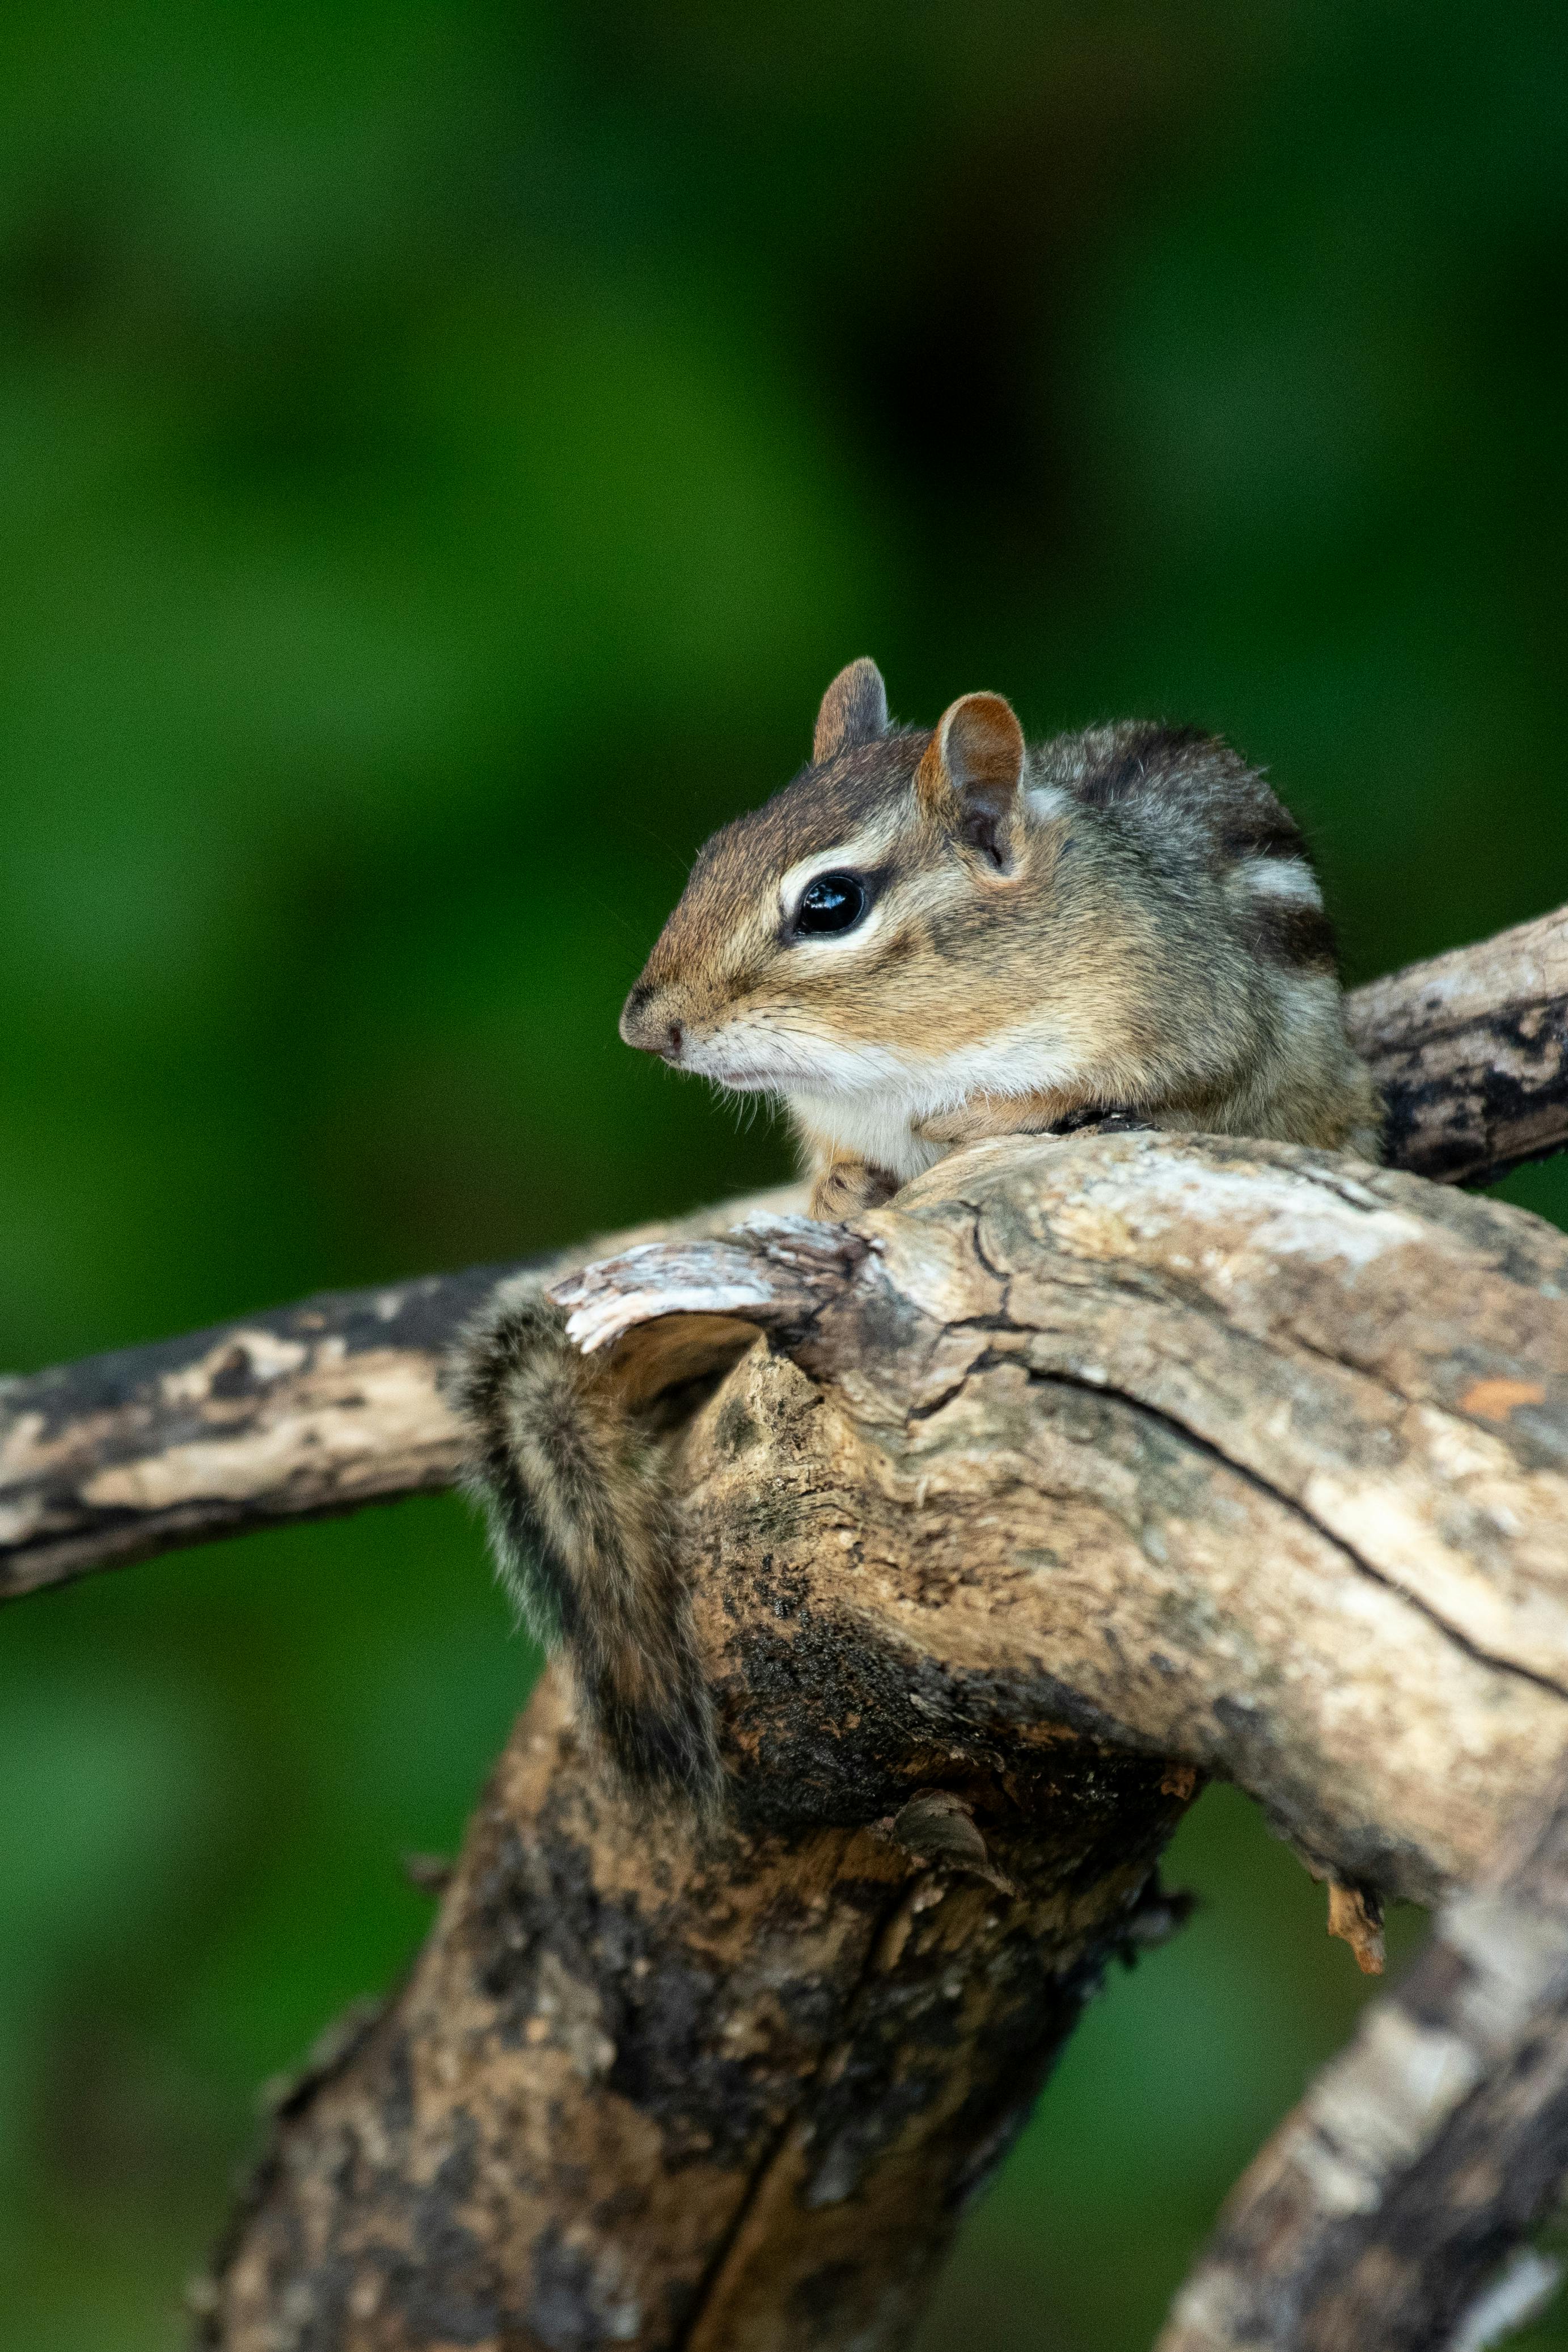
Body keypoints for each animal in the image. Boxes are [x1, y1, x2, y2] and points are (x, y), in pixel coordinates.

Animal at [456, 659, 1381, 1800]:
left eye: (830, 902)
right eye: (715, 851)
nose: (644, 1026)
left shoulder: (1203, 1017)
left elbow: (1158, 1085)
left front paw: (987, 1115)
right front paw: (840, 1188)